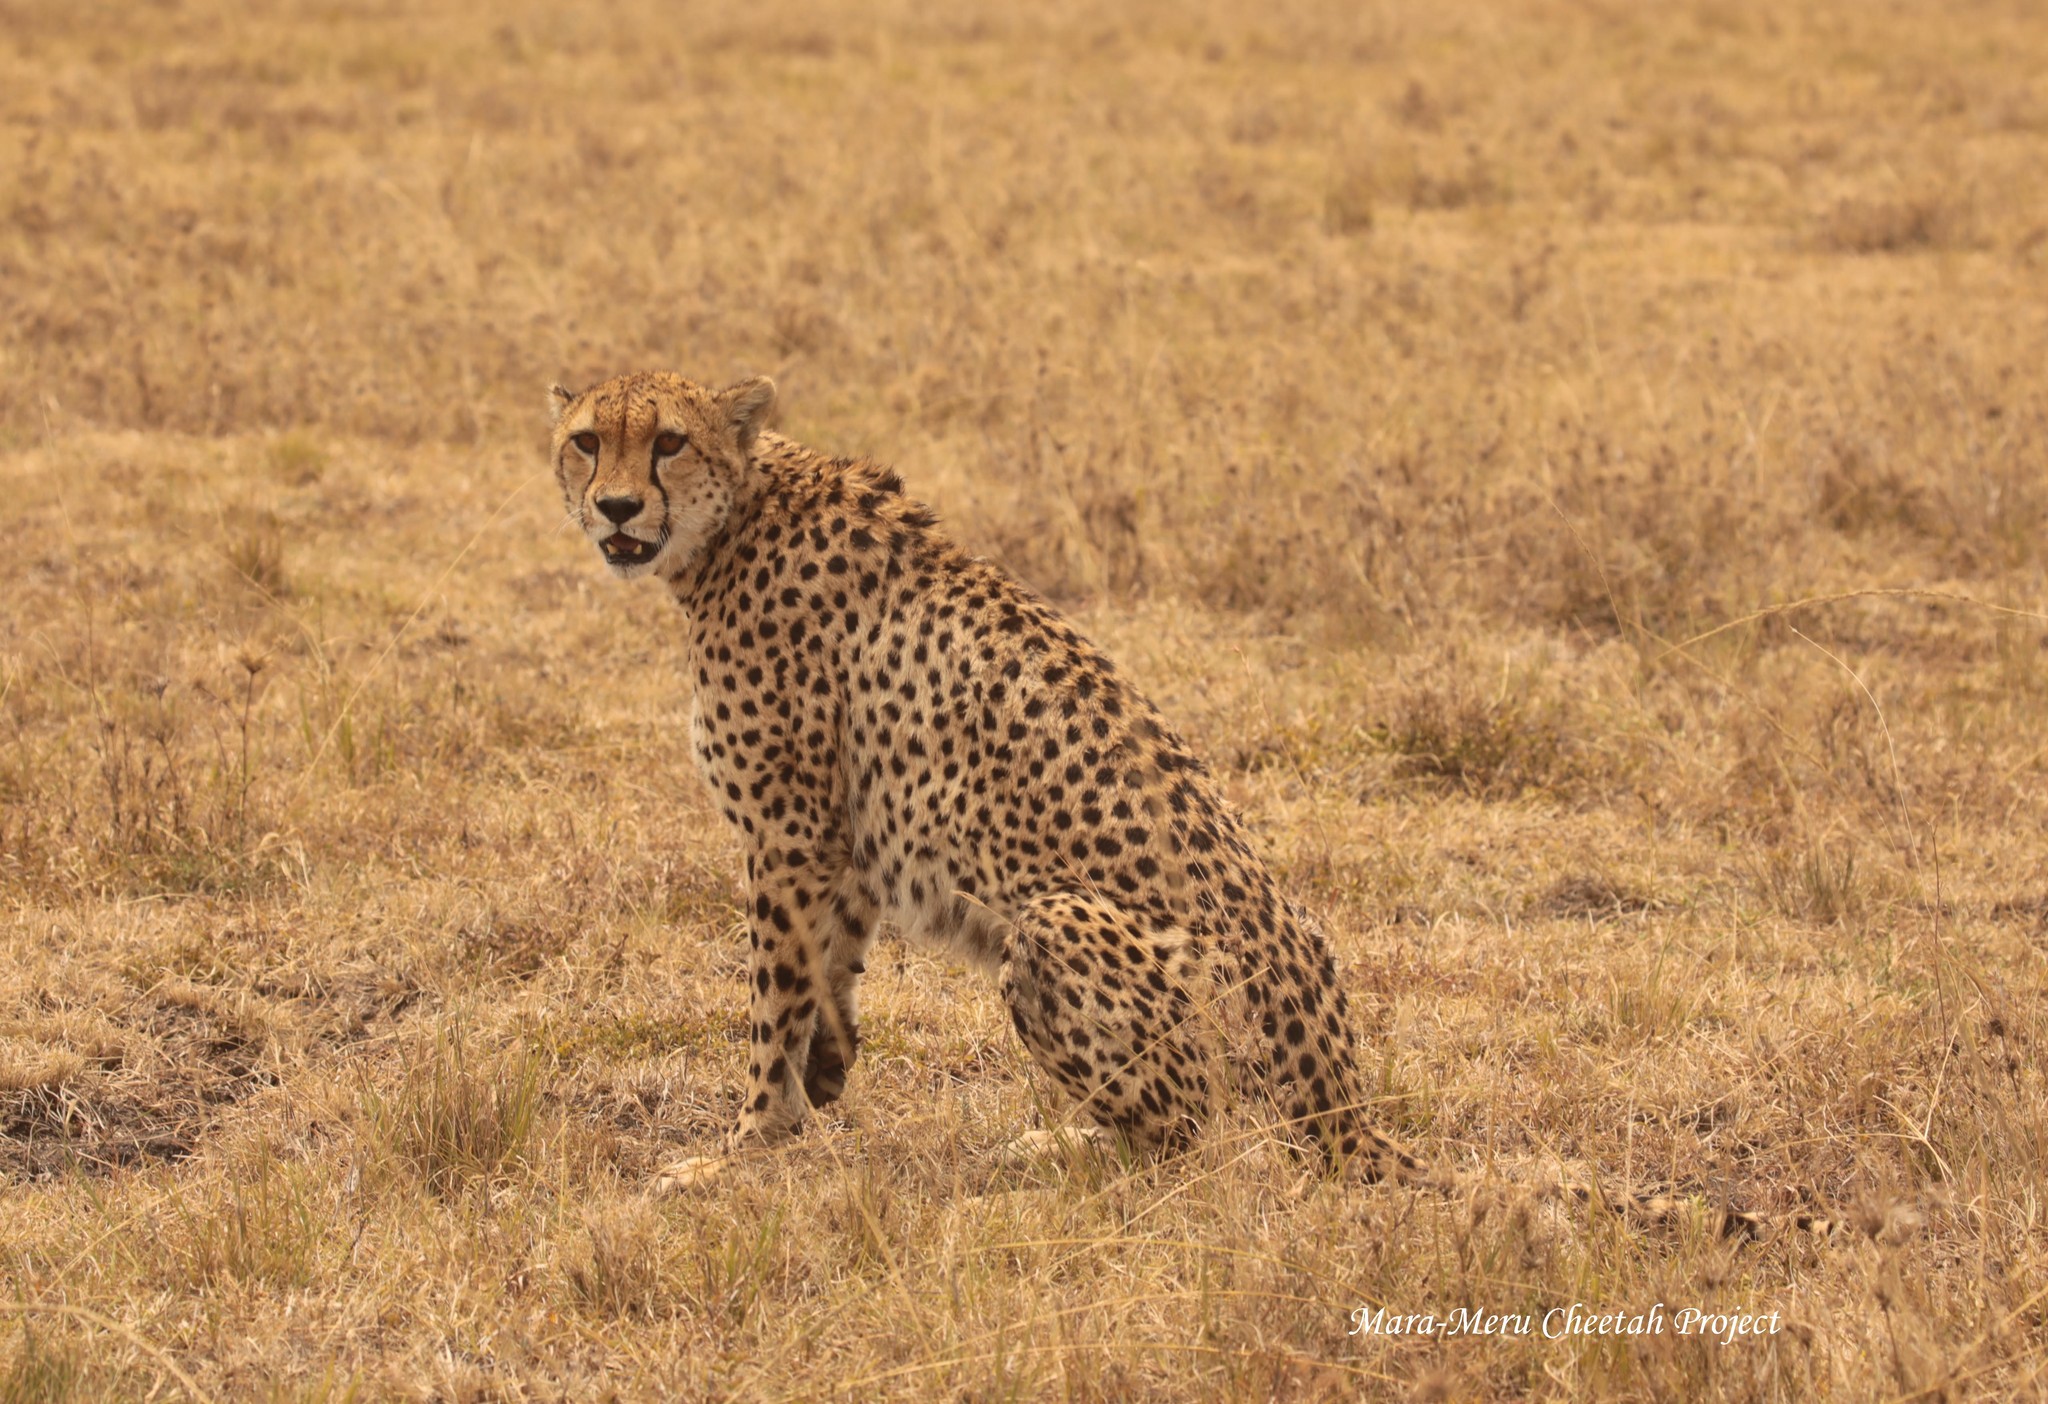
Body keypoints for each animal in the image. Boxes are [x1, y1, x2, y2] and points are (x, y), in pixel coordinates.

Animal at [546, 369, 1833, 1241]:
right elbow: (830, 983)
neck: (735, 518)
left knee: (1200, 1147)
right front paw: (820, 1091)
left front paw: (746, 1150)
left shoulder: (785, 834)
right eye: (584, 442)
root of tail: (1342, 1093)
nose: (613, 510)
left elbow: (773, 1002)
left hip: (1059, 926)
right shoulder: (840, 842)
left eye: (667, 442)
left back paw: (1049, 1156)